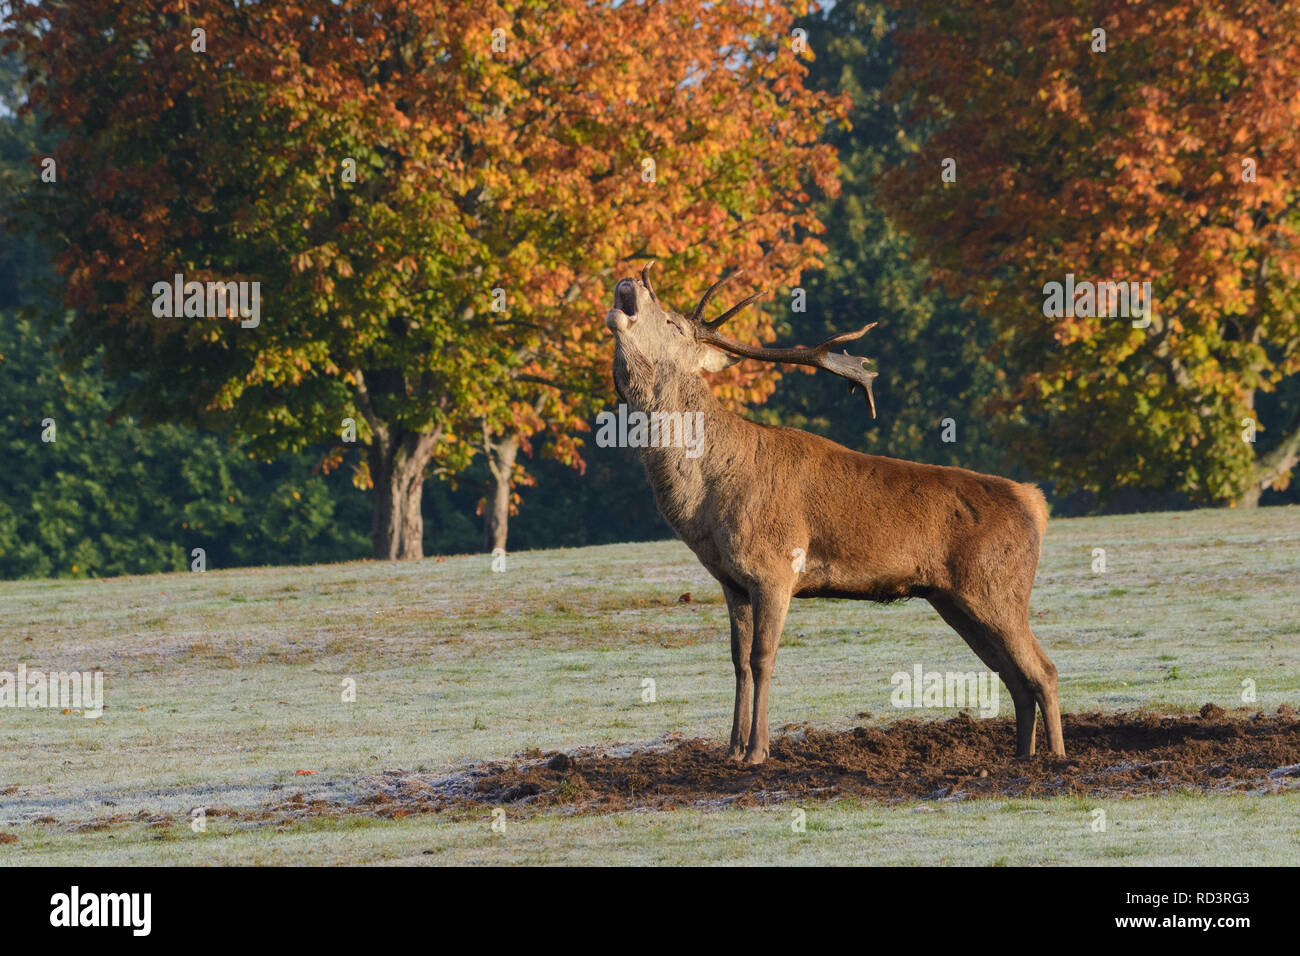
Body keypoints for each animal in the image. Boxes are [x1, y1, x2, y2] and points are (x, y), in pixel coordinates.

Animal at [605, 265, 1065, 766]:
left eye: (671, 324)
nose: (633, 280)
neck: (705, 503)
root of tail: (1036, 503)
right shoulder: (732, 581)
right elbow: (737, 661)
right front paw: (731, 750)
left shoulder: (776, 567)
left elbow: (762, 658)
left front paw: (758, 751)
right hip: (955, 599)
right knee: (1014, 676)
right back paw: (1022, 755)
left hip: (997, 587)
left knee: (1044, 670)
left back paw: (1057, 758)